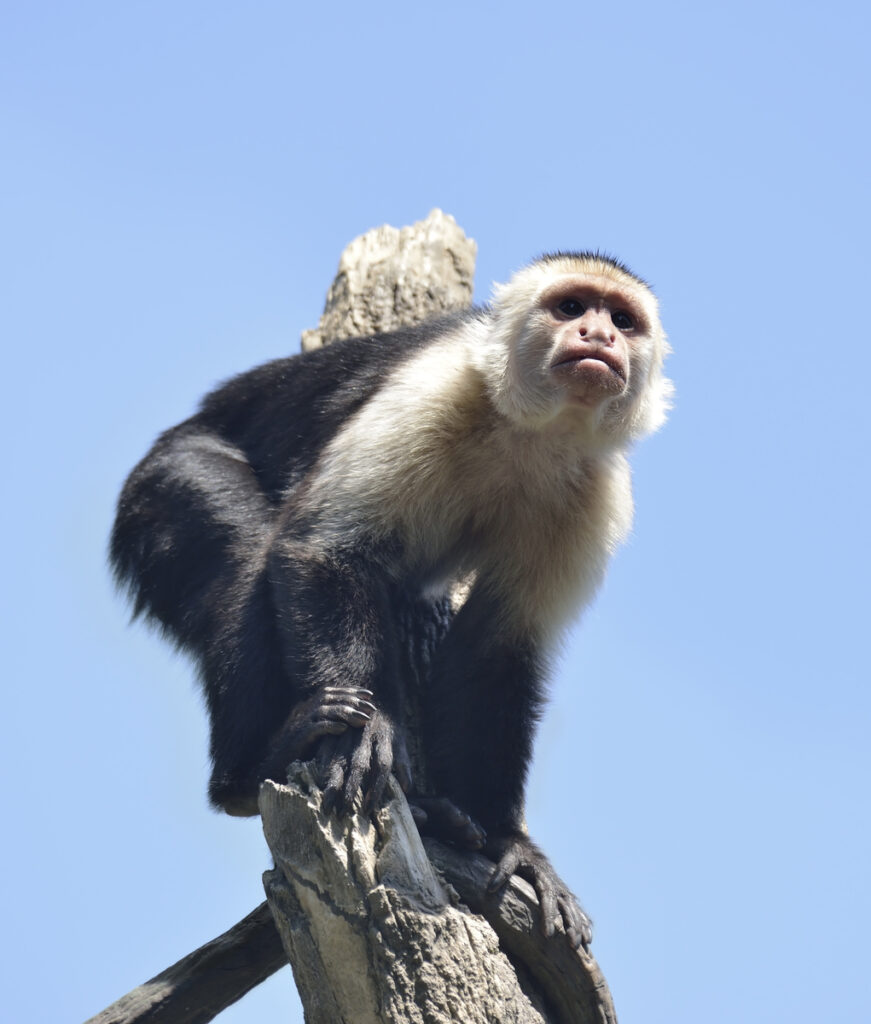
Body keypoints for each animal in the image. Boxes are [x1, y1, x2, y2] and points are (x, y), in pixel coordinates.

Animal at [110, 252, 672, 949]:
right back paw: (252, 769)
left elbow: (497, 652)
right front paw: (367, 729)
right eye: (570, 307)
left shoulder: (594, 490)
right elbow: (325, 549)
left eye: (623, 320)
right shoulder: (434, 389)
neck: (530, 433)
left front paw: (509, 843)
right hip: (160, 486)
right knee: (247, 550)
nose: (597, 335)